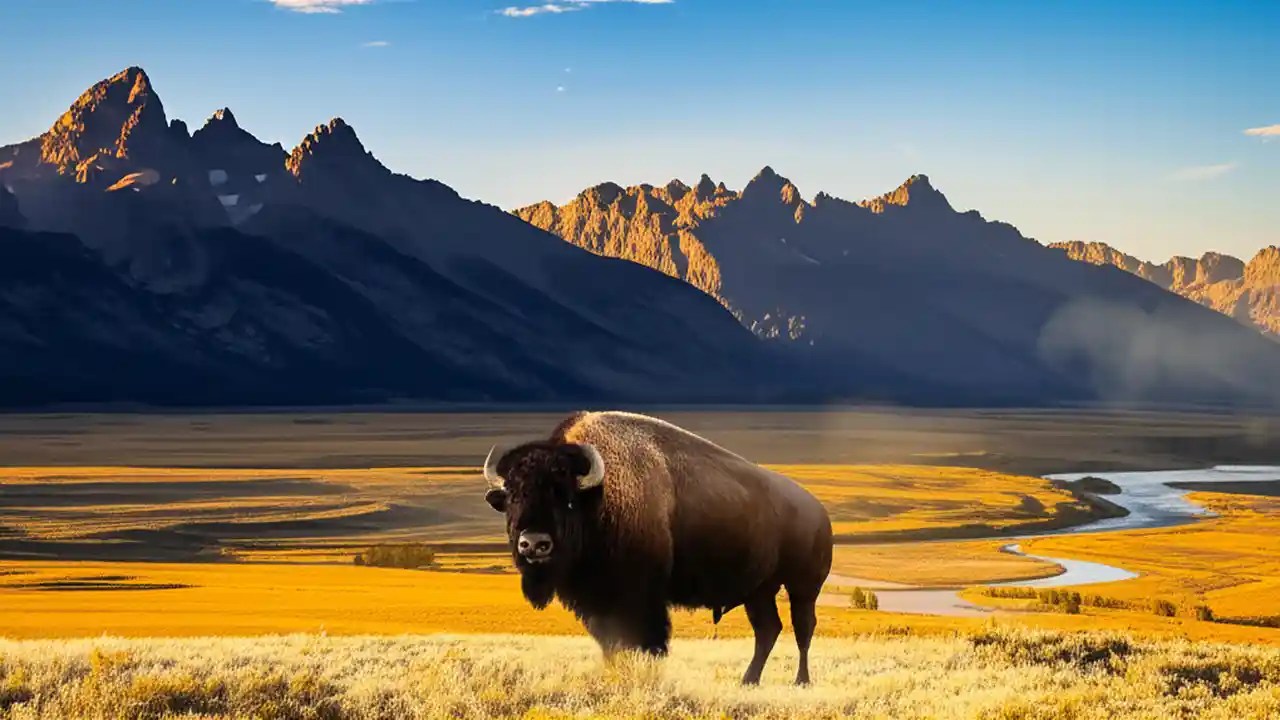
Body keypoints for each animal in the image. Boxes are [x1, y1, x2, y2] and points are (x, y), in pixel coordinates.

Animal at [481, 410, 833, 685]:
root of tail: (819, 511)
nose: (533, 544)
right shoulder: (596, 601)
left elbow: (647, 641)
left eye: (565, 498)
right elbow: (611, 643)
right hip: (759, 591)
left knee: (802, 629)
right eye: (512, 498)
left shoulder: (640, 597)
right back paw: (749, 680)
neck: (600, 497)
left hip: (803, 587)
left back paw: (801, 681)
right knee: (768, 630)